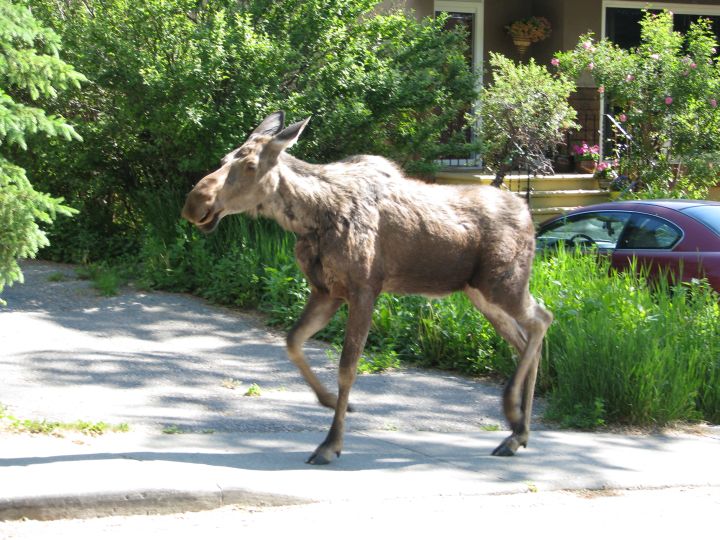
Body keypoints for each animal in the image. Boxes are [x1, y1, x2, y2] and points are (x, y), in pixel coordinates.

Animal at [182, 111, 553, 464]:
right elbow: (292, 342)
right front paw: (332, 401)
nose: (195, 203)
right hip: (480, 294)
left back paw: (512, 415)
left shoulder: (364, 289)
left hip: (503, 284)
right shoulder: (326, 292)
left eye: (250, 165)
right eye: (225, 157)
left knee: (542, 319)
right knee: (525, 339)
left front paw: (331, 443)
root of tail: (528, 214)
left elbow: (347, 368)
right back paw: (519, 431)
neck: (309, 219)